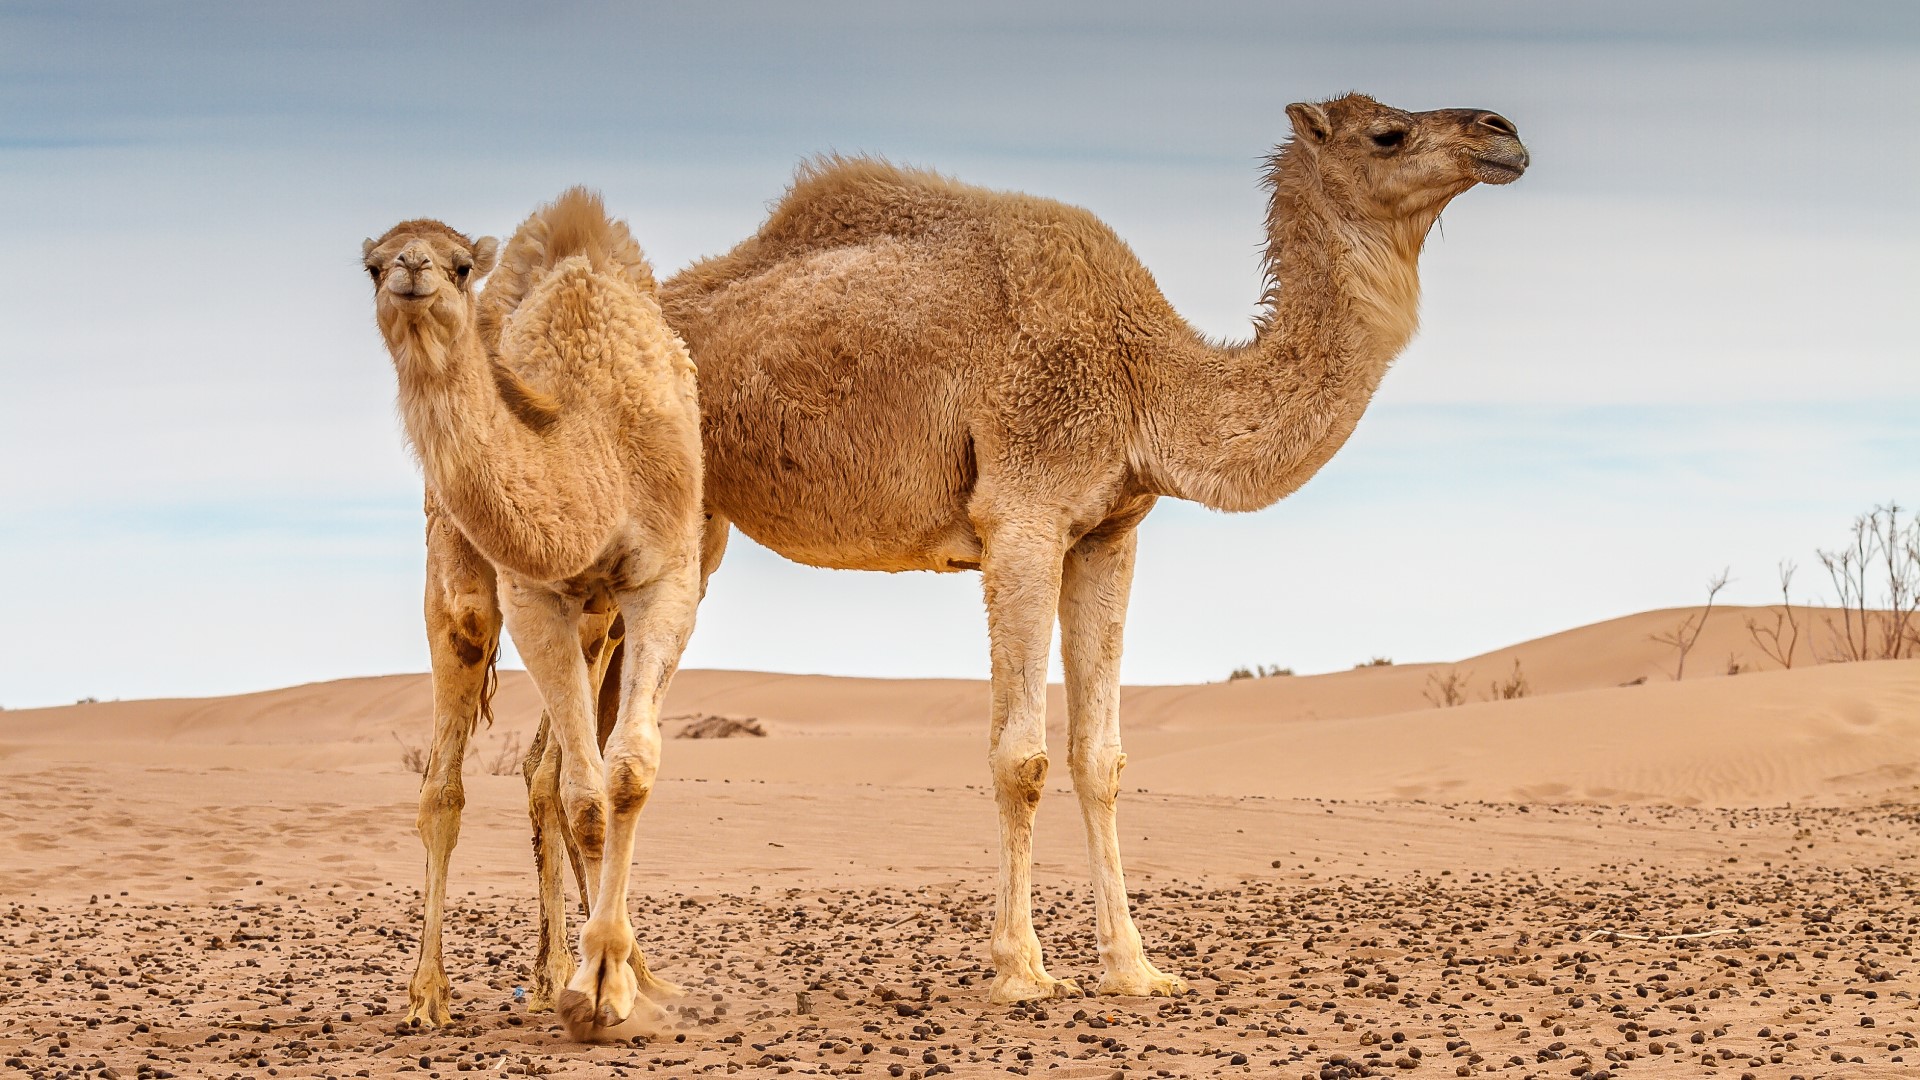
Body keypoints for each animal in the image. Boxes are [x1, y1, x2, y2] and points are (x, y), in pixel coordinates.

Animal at [363, 188, 705, 1037]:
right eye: (373, 265)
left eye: (459, 264)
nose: (411, 270)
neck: (596, 451)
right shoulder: (533, 594)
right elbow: (583, 793)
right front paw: (599, 984)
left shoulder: (663, 579)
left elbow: (626, 773)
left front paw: (614, 976)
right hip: (462, 568)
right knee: (454, 784)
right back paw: (442, 991)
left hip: (602, 621)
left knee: (544, 770)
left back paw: (574, 970)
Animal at [653, 93, 1528, 1003]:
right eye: (1387, 134)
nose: (1502, 134)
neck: (1144, 378)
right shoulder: (1023, 515)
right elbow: (1022, 758)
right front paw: (1020, 969)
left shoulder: (1109, 534)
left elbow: (1099, 758)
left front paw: (1135, 967)